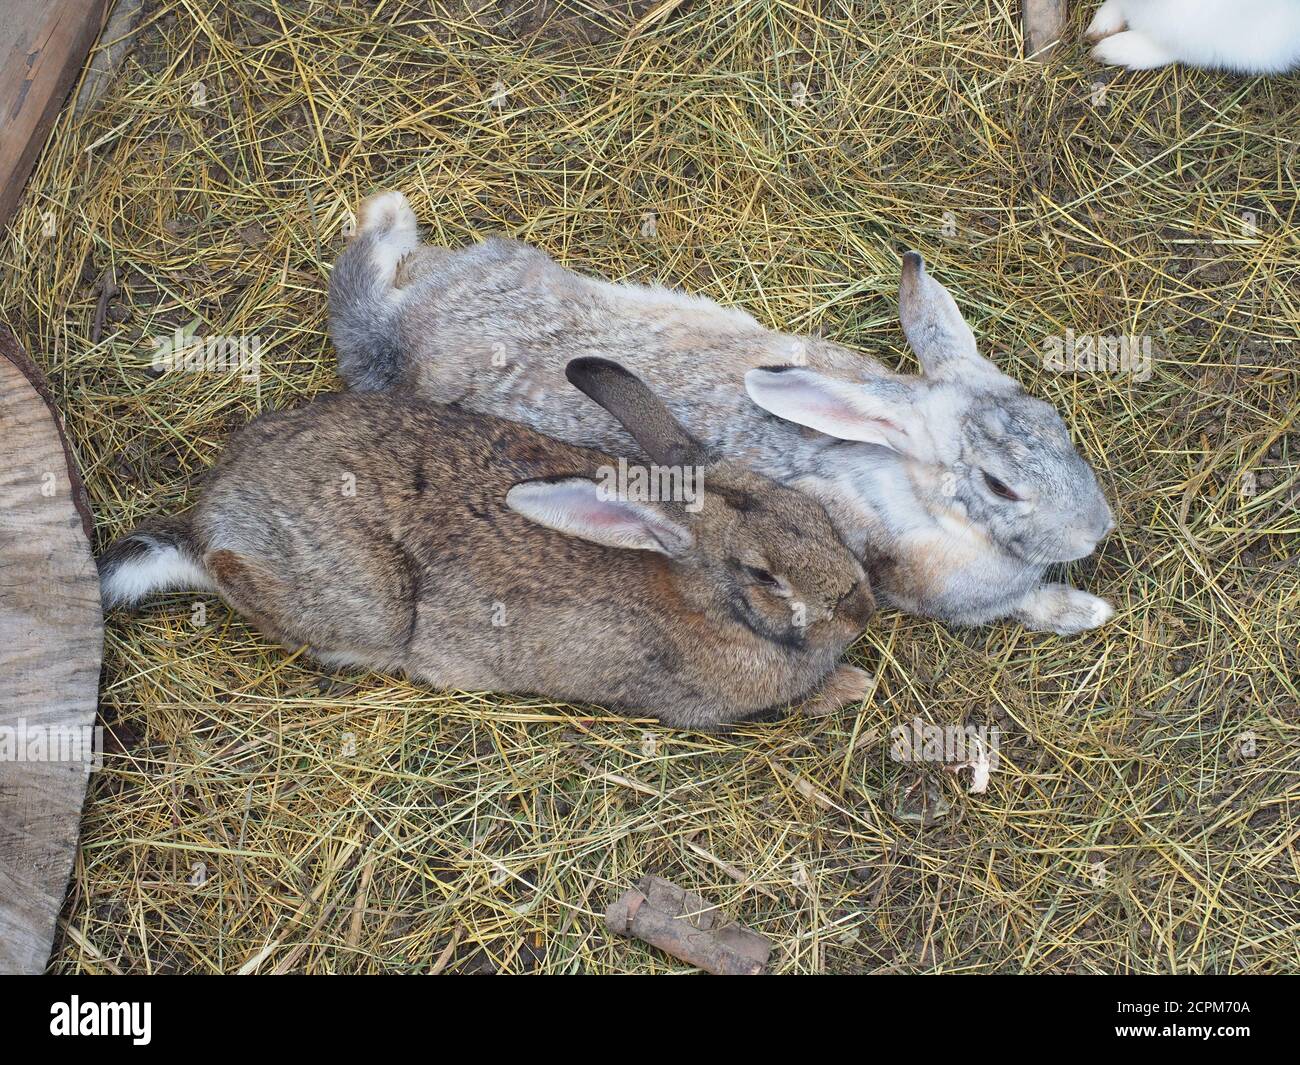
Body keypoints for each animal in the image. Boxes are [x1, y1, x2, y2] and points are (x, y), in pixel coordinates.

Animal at [98, 357, 876, 731]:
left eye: (812, 511)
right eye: (763, 575)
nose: (862, 610)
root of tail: (210, 516)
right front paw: (852, 684)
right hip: (362, 601)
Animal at [327, 191, 1115, 636]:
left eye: (1054, 422)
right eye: (1000, 486)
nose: (1097, 530)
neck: (926, 501)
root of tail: (403, 335)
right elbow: (1022, 606)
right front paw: (1086, 612)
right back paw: (388, 214)